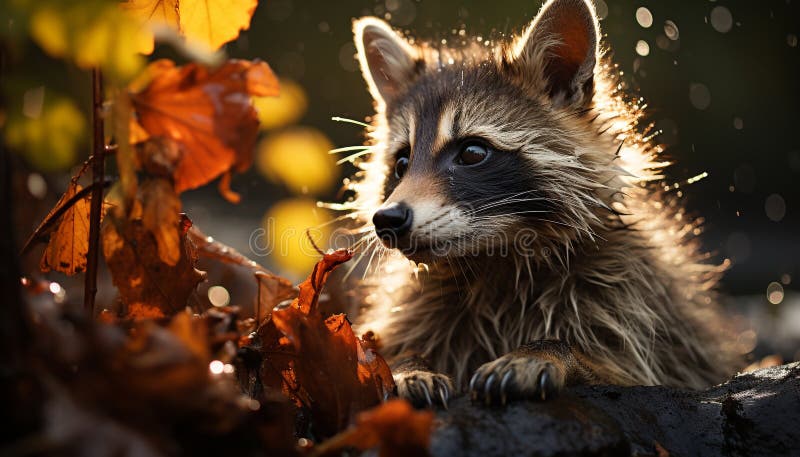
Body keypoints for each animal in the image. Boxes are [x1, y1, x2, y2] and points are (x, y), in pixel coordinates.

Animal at [344, 0, 738, 407]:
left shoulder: (636, 309)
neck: (492, 262)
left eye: (472, 153)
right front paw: (406, 363)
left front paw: (549, 350)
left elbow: (632, 373)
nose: (387, 219)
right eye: (402, 163)